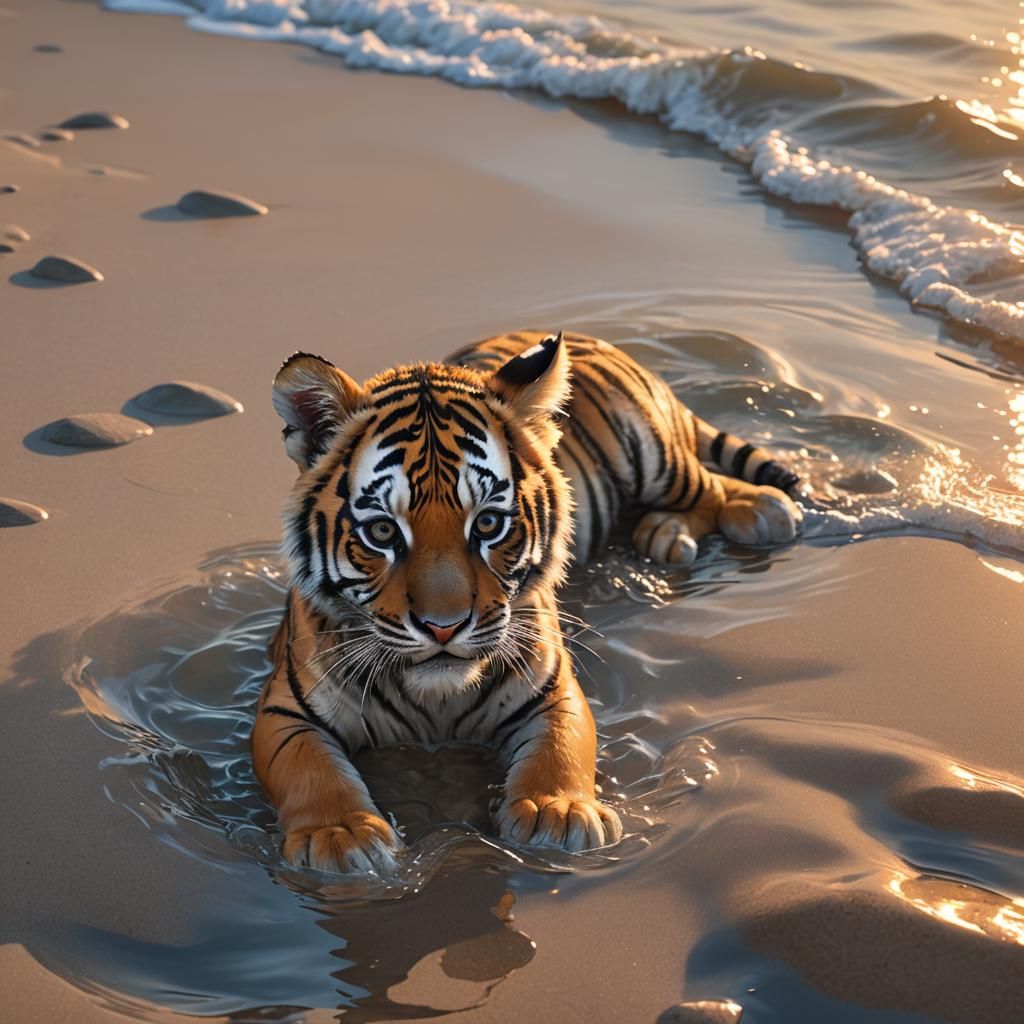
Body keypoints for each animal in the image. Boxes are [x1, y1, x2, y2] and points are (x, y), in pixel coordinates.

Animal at [253, 330, 802, 873]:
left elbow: (559, 749)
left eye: (488, 524)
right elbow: (309, 767)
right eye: (383, 532)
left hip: (656, 459)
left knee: (710, 489)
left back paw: (756, 511)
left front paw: (556, 813)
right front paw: (340, 836)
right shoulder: (287, 709)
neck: (435, 704)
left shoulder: (554, 691)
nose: (443, 627)